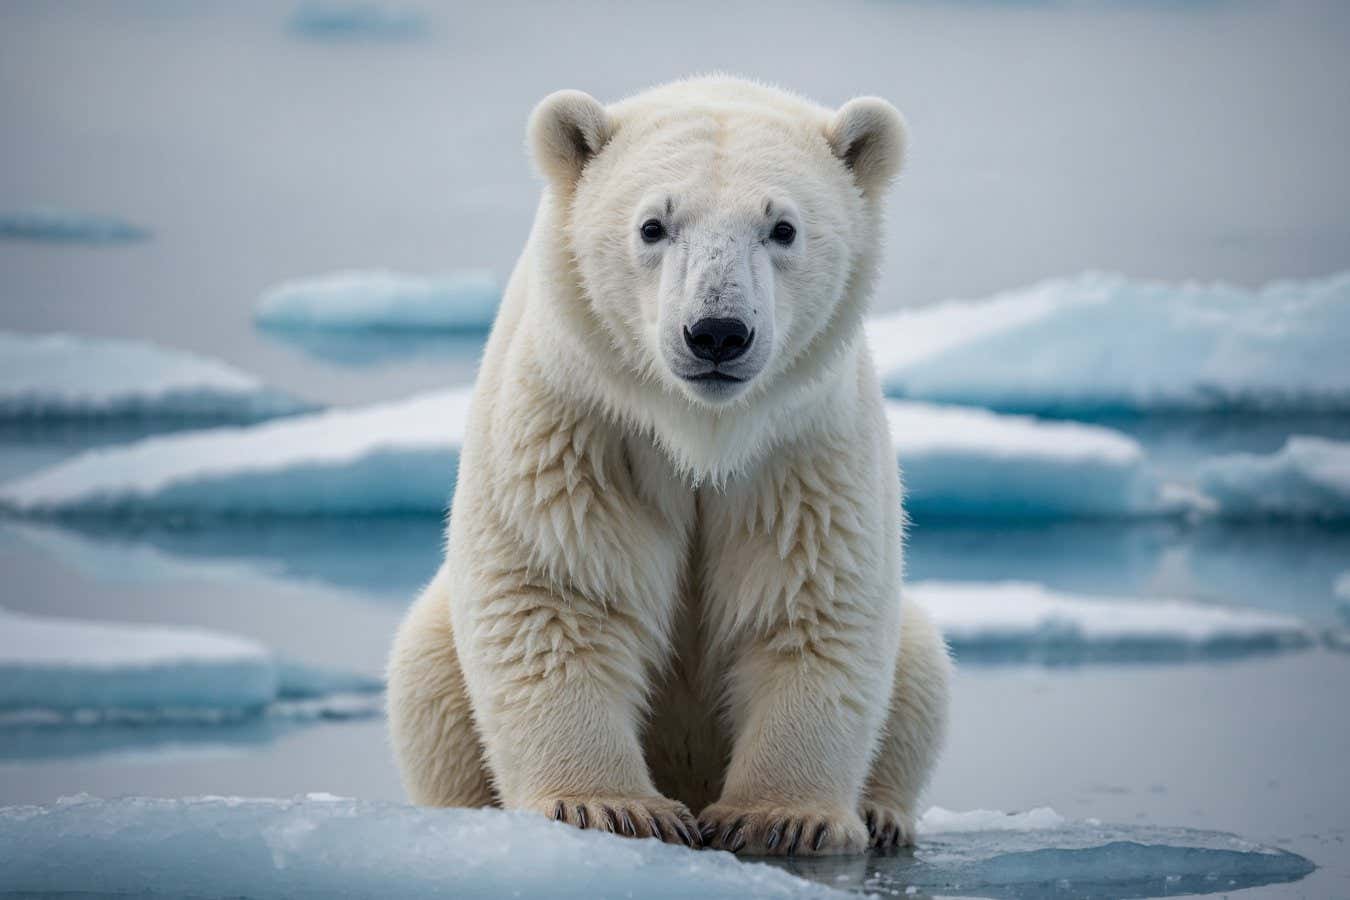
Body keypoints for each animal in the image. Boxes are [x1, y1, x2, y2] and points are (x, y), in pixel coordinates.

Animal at [387, 76, 950, 856]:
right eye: (653, 226)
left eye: (783, 228)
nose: (717, 332)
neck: (699, 431)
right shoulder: (575, 425)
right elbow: (556, 593)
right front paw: (605, 806)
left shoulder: (802, 448)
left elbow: (810, 602)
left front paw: (780, 818)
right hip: (435, 652)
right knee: (427, 674)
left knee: (921, 665)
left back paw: (884, 815)